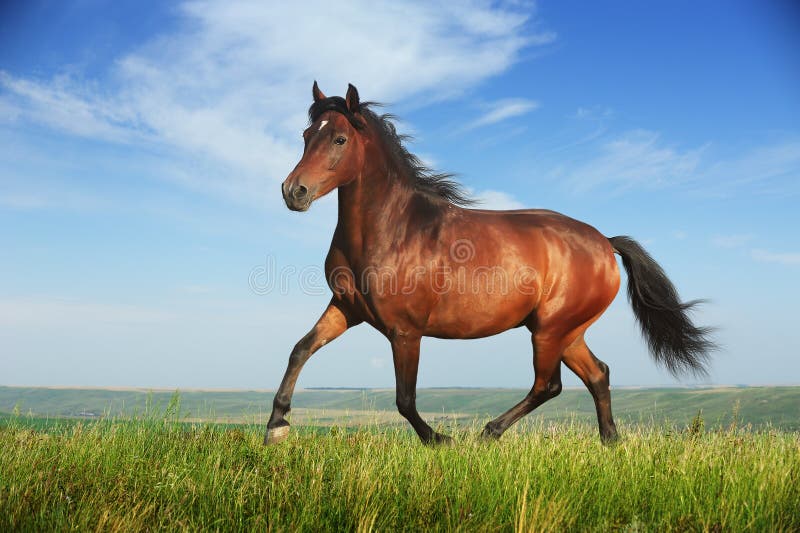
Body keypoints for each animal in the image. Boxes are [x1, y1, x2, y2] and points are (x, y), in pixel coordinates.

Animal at [266, 82, 715, 445]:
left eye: (340, 139)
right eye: (306, 135)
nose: (293, 191)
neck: (393, 229)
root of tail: (605, 243)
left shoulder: (405, 331)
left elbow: (405, 398)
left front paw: (441, 440)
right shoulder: (346, 308)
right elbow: (299, 350)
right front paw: (276, 427)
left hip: (550, 330)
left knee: (548, 385)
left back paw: (488, 433)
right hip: (567, 332)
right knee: (597, 374)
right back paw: (610, 443)